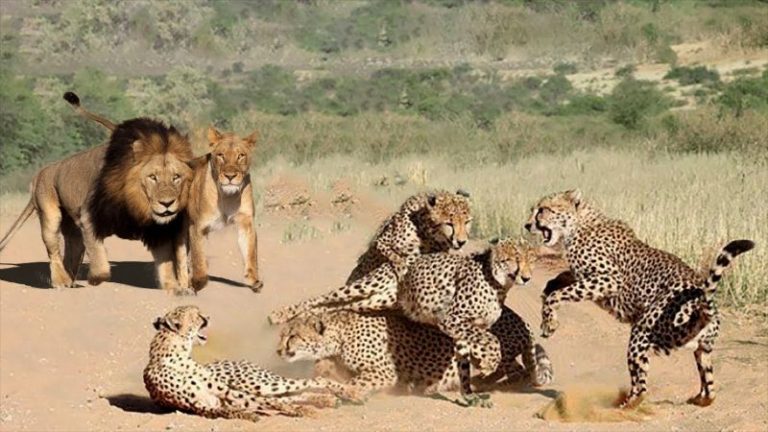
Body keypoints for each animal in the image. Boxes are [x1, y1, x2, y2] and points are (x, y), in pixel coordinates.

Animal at [0, 92, 196, 293]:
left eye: (176, 177)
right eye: (152, 177)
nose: (167, 203)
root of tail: (39, 173)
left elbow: (171, 260)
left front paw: (178, 288)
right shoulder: (88, 217)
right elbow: (98, 254)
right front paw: (96, 278)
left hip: (73, 229)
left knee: (72, 251)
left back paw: (71, 281)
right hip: (49, 213)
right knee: (53, 250)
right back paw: (61, 282)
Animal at [183, 126, 263, 293]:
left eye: (241, 155)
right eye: (221, 155)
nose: (230, 176)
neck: (227, 197)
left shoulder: (246, 223)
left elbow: (251, 252)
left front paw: (254, 280)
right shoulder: (197, 226)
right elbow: (199, 257)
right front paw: (198, 282)